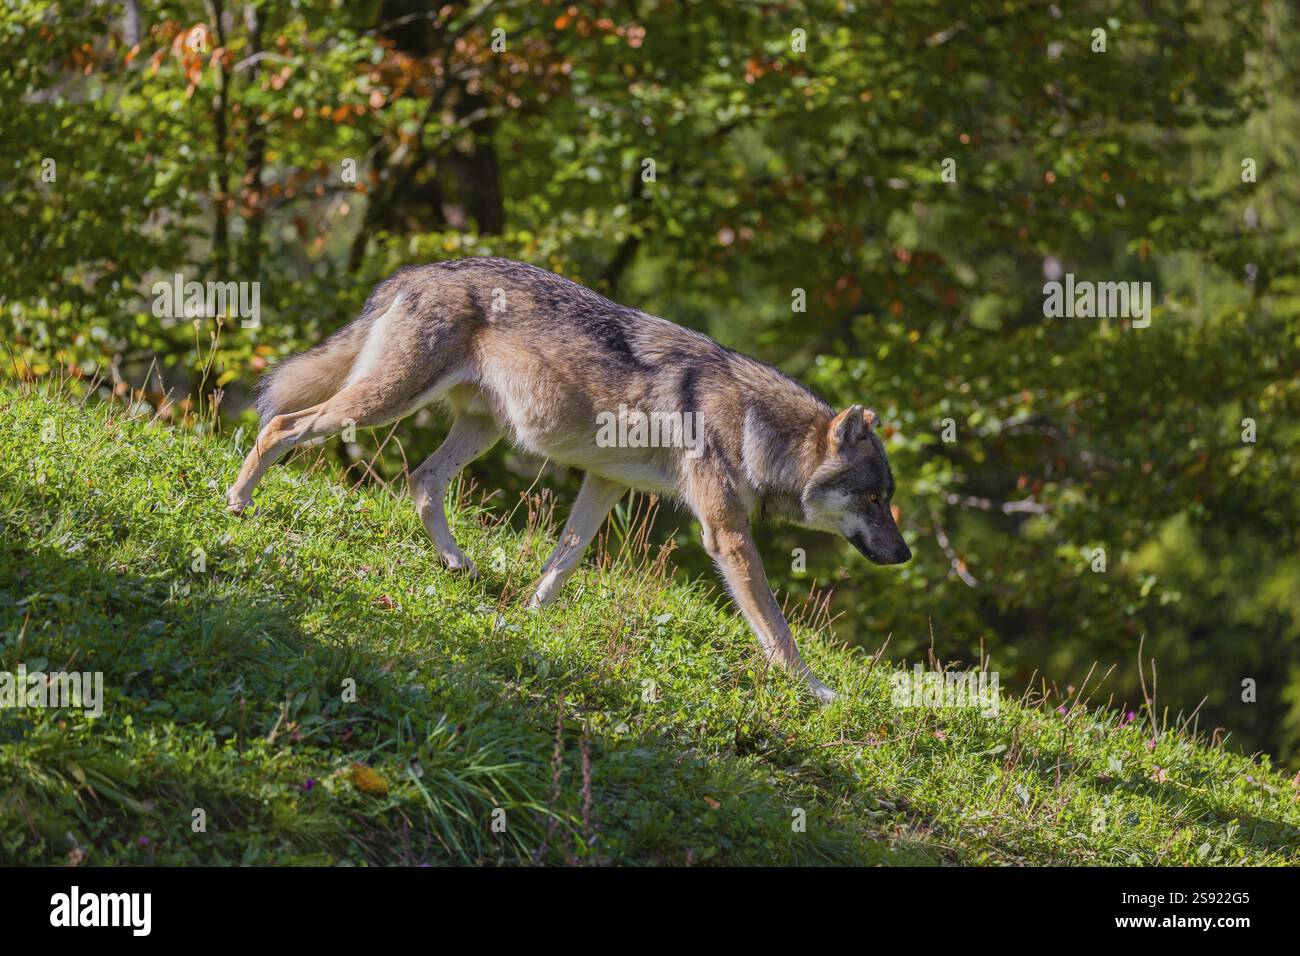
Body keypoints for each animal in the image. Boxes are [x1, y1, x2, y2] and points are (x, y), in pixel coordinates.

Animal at [227, 258, 910, 701]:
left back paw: (457, 563)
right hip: (383, 405)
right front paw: (814, 689)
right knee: (281, 424)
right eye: (874, 499)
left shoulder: (604, 484)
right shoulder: (728, 536)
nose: (904, 555)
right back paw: (237, 502)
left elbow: (563, 561)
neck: (753, 425)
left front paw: (527, 619)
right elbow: (776, 628)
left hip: (481, 429)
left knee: (421, 480)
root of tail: (417, 272)